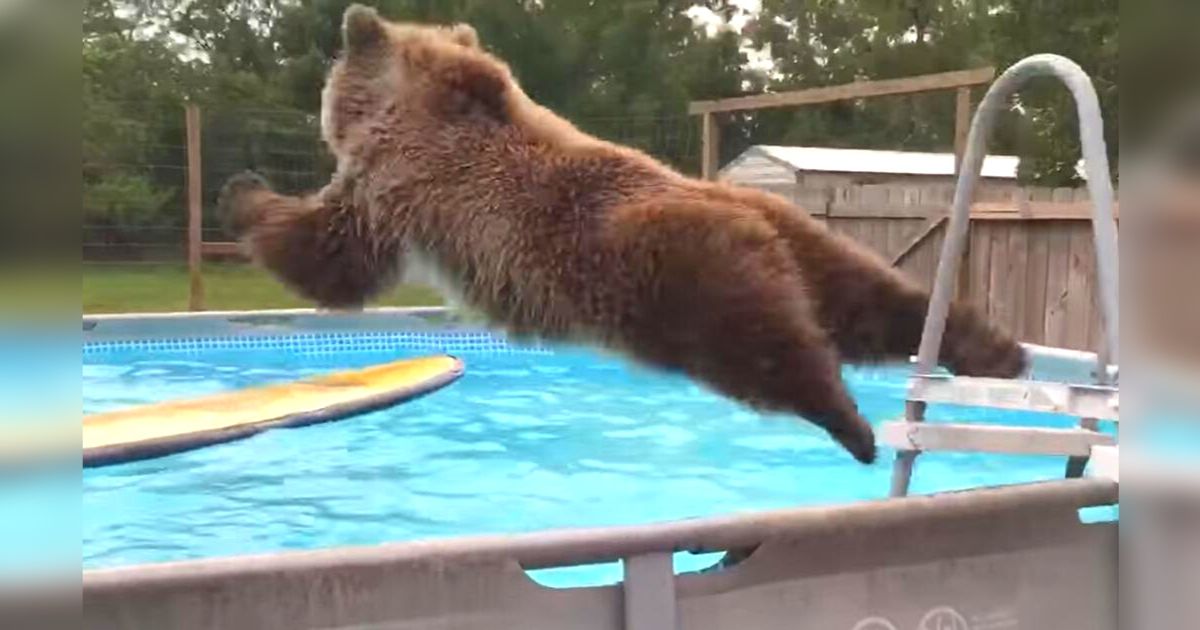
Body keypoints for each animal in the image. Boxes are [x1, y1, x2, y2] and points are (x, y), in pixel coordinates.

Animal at [218, 4, 1027, 464]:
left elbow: (328, 251)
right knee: (873, 302)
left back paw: (852, 427)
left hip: (668, 279)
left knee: (770, 353)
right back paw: (993, 349)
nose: (350, 23)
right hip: (807, 243)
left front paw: (242, 192)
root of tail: (752, 214)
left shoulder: (392, 187)